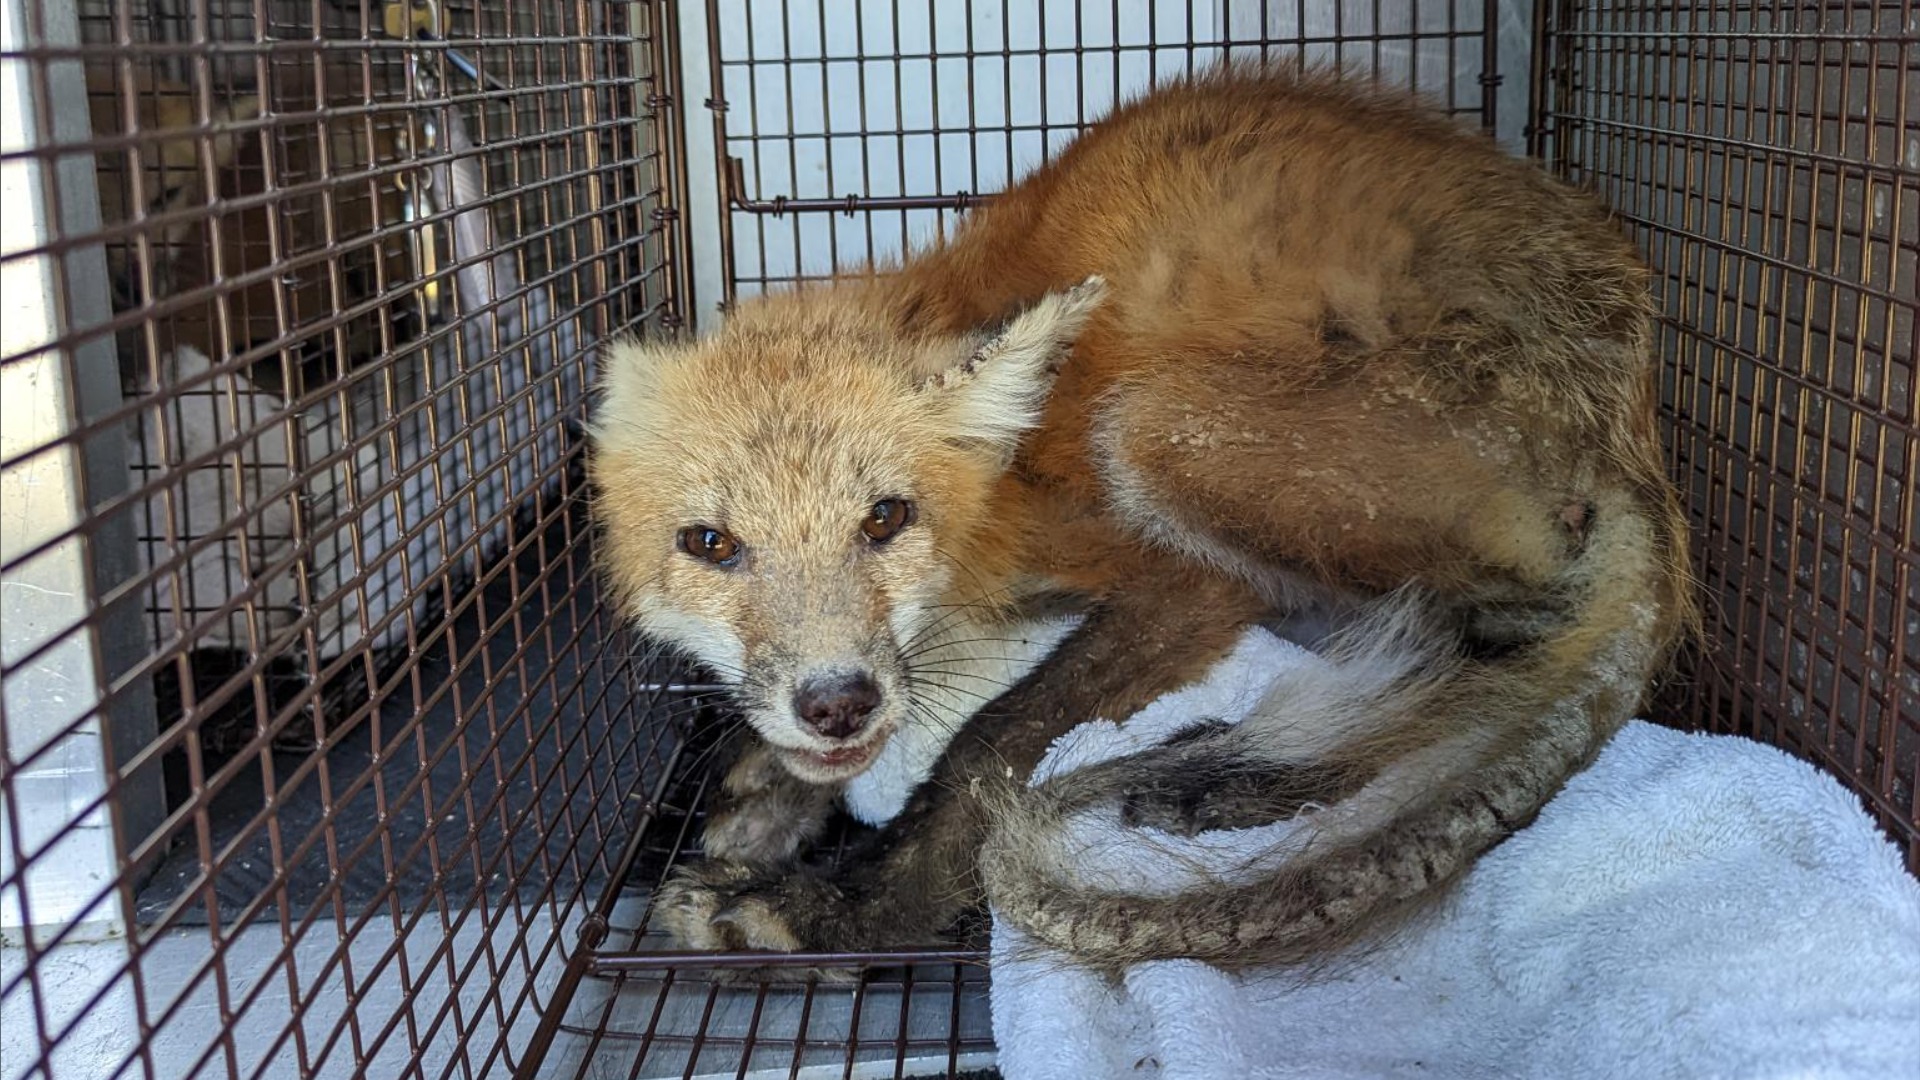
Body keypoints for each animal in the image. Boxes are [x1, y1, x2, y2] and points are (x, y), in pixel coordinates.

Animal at [589, 66, 1693, 975]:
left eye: (886, 519)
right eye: (710, 545)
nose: (836, 705)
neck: (1011, 476)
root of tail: (1634, 384)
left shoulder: (1186, 584)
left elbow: (982, 747)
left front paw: (843, 916)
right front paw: (762, 791)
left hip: (1155, 429)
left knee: (1487, 638)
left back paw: (1244, 774)